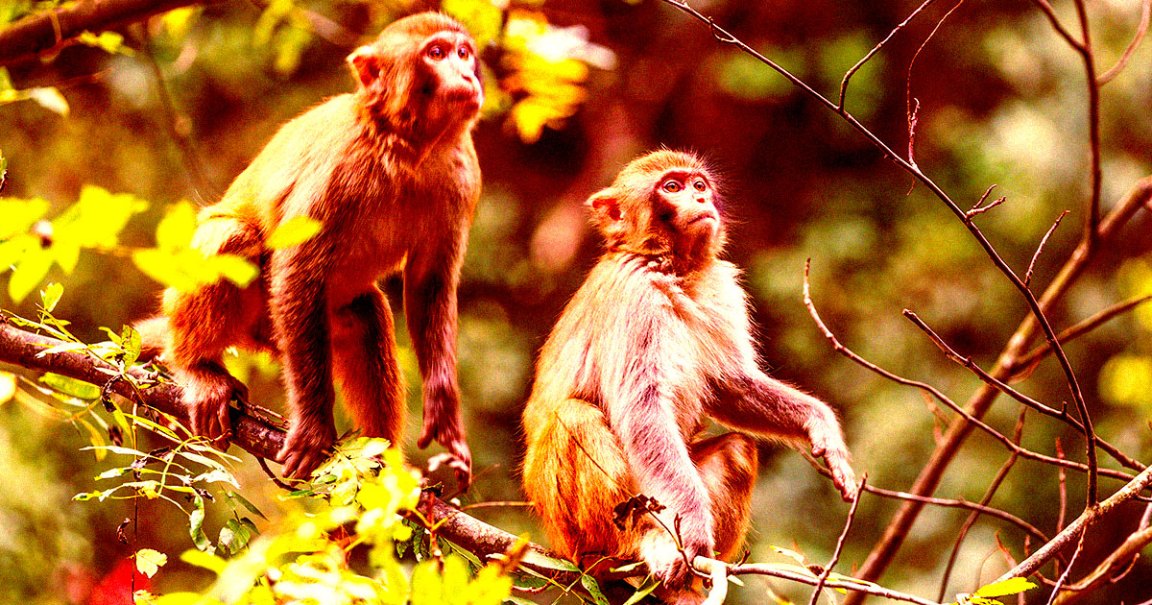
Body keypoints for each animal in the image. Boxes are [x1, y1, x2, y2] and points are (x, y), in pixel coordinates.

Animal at [139, 12, 483, 483]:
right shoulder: (339, 168)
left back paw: (382, 462)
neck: (407, 148)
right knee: (234, 239)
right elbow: (297, 272)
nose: (466, 73)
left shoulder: (463, 174)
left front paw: (444, 411)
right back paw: (196, 365)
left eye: (463, 53)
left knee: (364, 315)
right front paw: (316, 427)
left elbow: (429, 284)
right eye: (436, 53)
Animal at [521, 150, 857, 602]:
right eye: (672, 187)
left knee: (737, 451)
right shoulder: (636, 295)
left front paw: (820, 425)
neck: (674, 266)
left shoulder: (721, 288)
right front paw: (694, 533)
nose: (700, 200)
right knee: (575, 418)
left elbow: (729, 388)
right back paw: (638, 547)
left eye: (698, 185)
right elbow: (642, 411)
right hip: (574, 533)